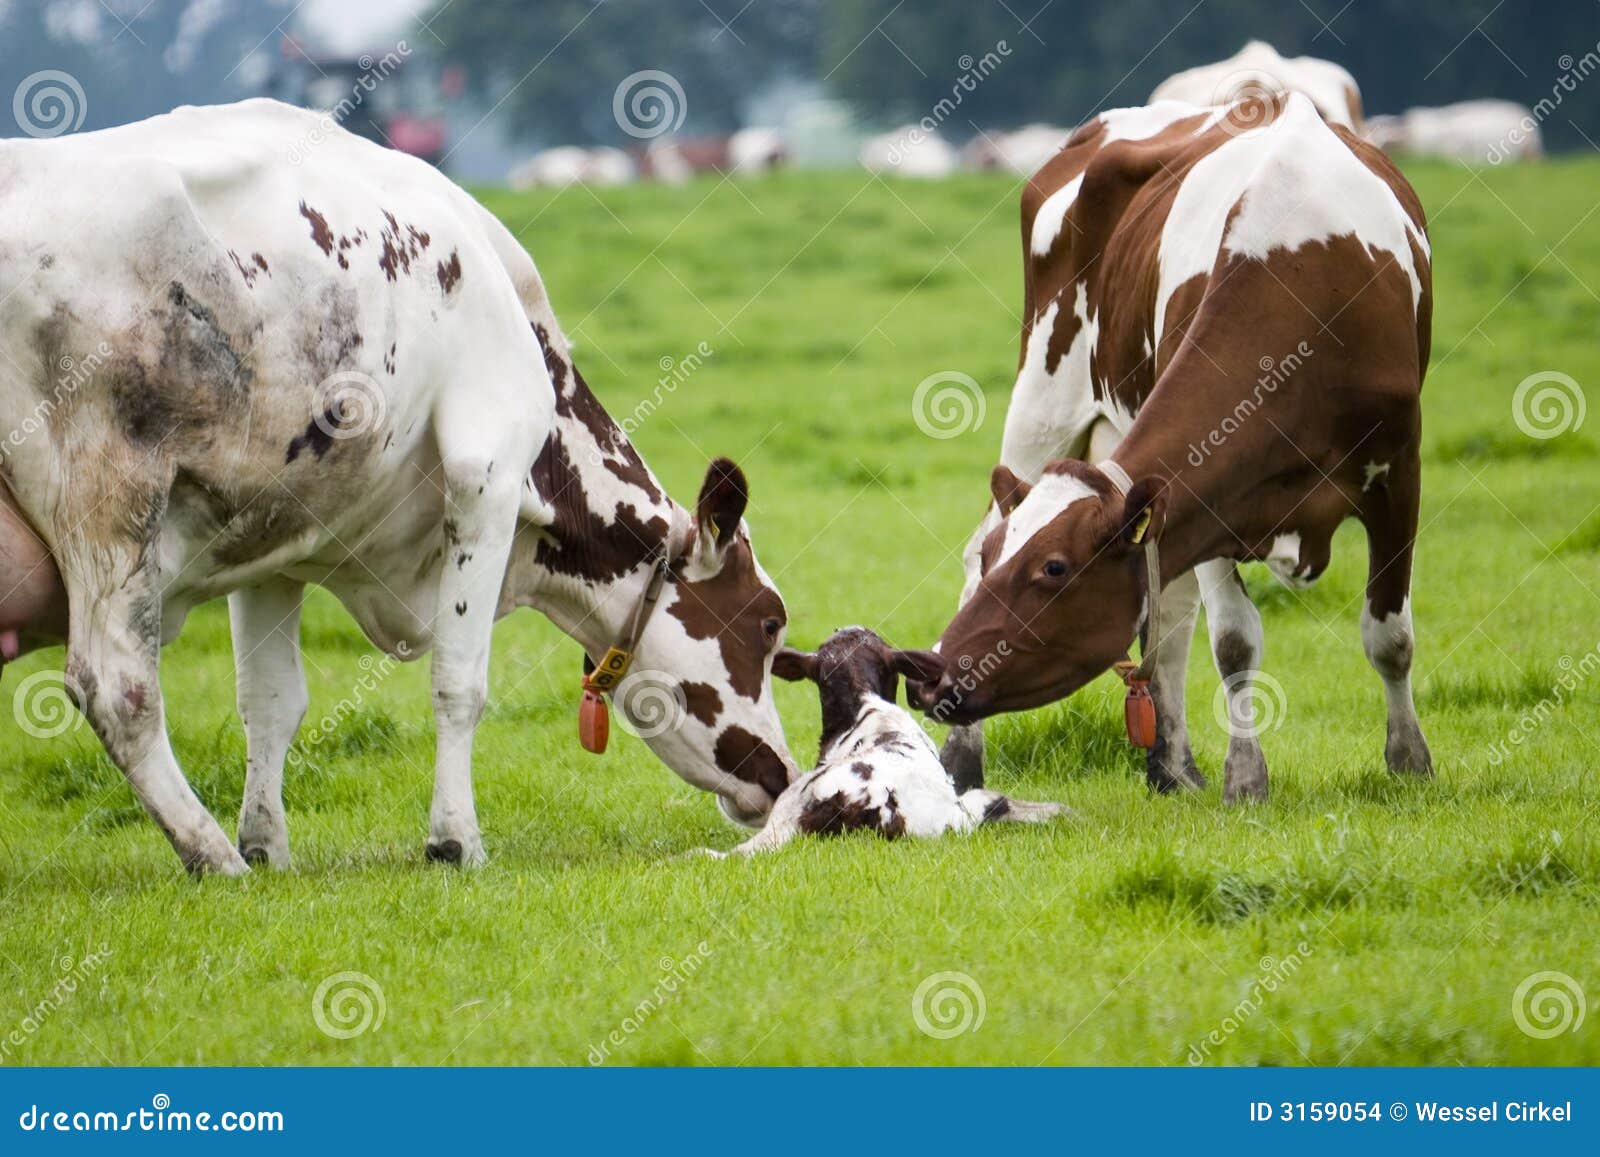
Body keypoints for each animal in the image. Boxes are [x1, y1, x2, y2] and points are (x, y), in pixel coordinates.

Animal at [0, 99, 798, 875]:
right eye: (767, 623)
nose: (784, 775)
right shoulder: (487, 476)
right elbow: (459, 682)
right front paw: (454, 840)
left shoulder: (272, 536)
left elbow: (271, 701)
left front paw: (269, 847)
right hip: (112, 497)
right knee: (117, 686)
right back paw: (211, 855)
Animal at [916, 92, 1433, 804]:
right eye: (1006, 559)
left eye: (1054, 568)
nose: (933, 674)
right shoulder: (1207, 503)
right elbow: (1236, 641)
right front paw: (1246, 778)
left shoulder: (1400, 470)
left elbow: (1391, 635)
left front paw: (1410, 761)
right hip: (1041, 400)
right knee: (981, 553)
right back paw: (966, 760)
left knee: (1173, 608)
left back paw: (1173, 764)